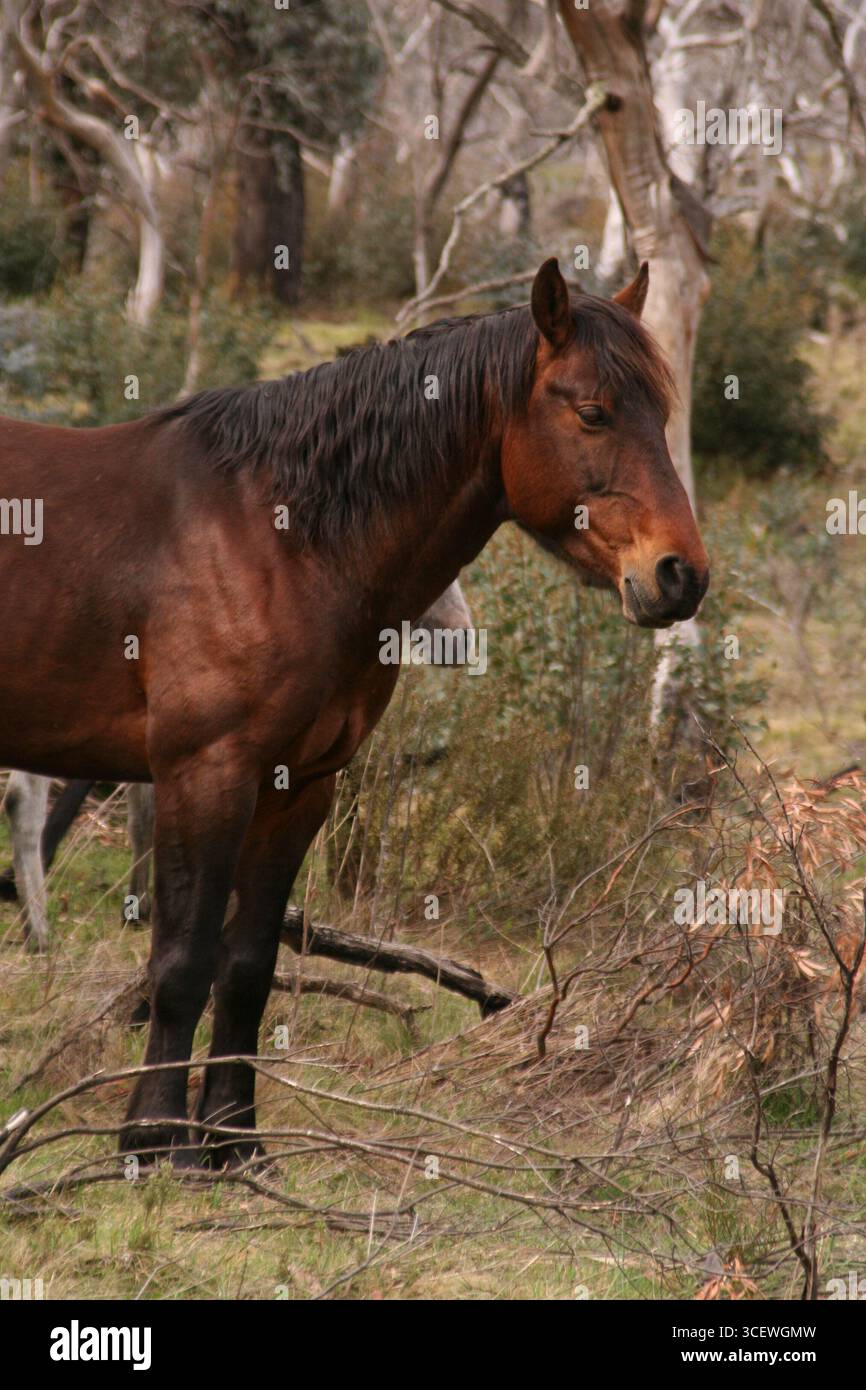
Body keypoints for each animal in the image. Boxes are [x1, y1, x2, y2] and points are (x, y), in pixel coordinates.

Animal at [0, 257, 709, 1166]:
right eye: (593, 411)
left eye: (662, 411)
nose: (680, 574)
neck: (278, 536)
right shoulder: (205, 775)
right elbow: (181, 962)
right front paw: (153, 1137)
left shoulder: (301, 786)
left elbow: (247, 967)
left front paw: (232, 1140)